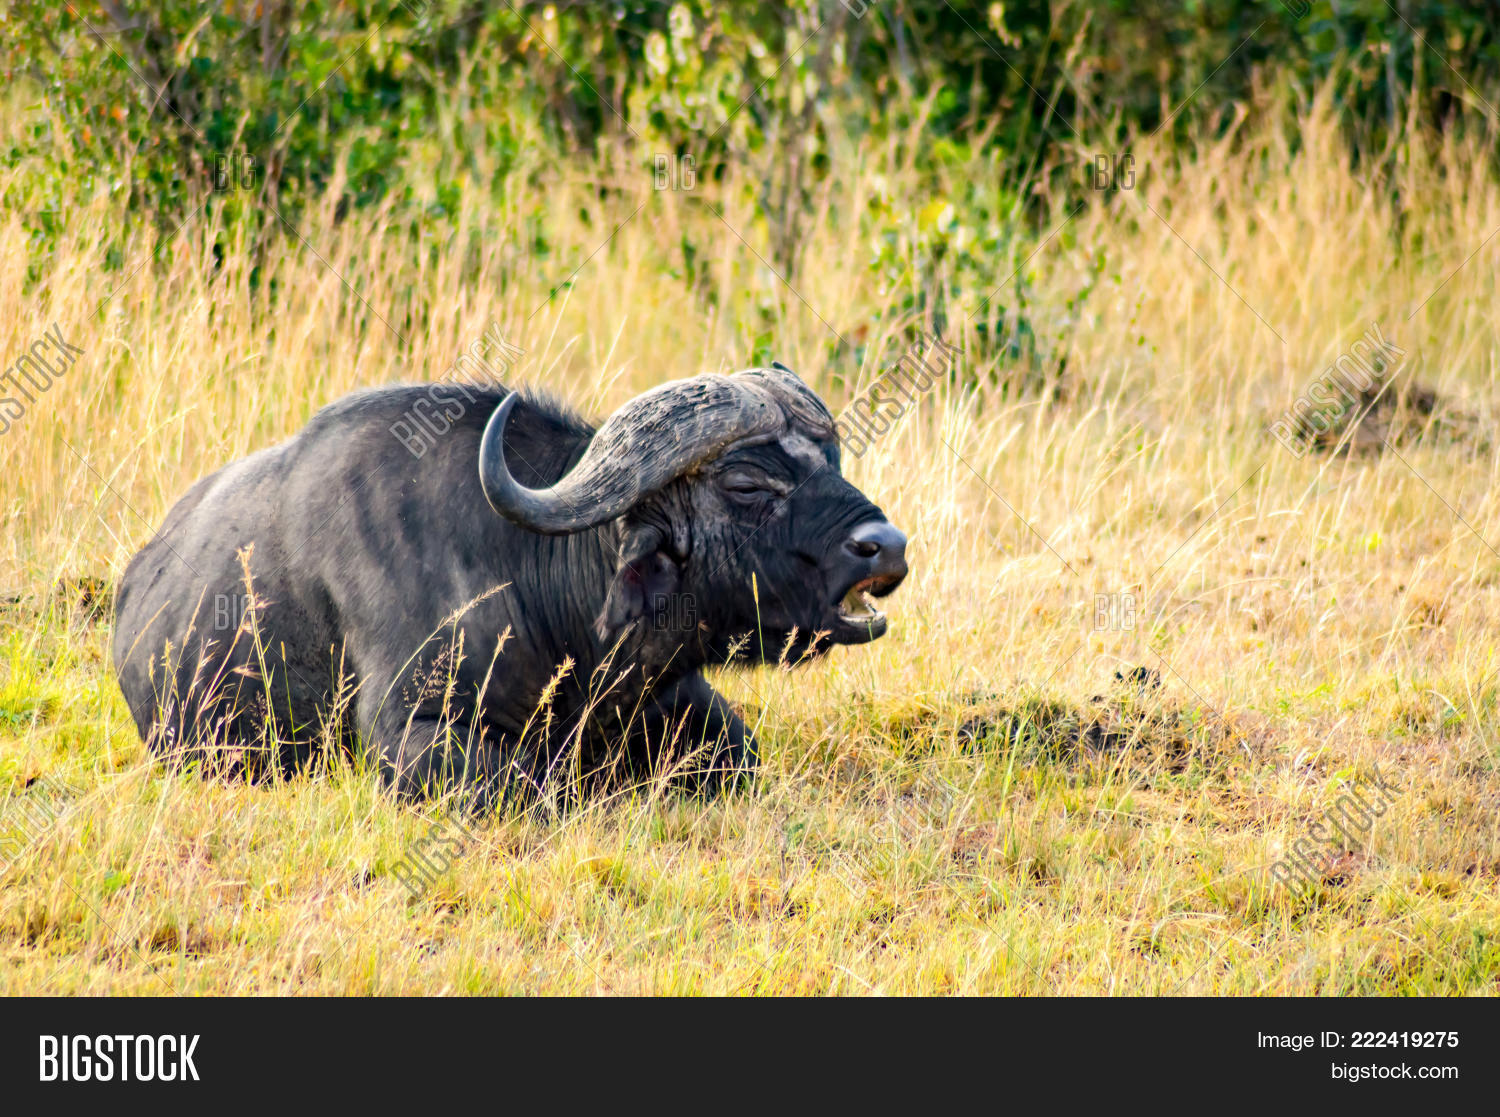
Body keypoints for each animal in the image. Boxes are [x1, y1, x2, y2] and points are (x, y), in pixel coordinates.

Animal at [112, 364, 908, 803]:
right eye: (746, 484)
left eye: (831, 459)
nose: (886, 546)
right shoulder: (409, 735)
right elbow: (528, 789)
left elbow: (742, 759)